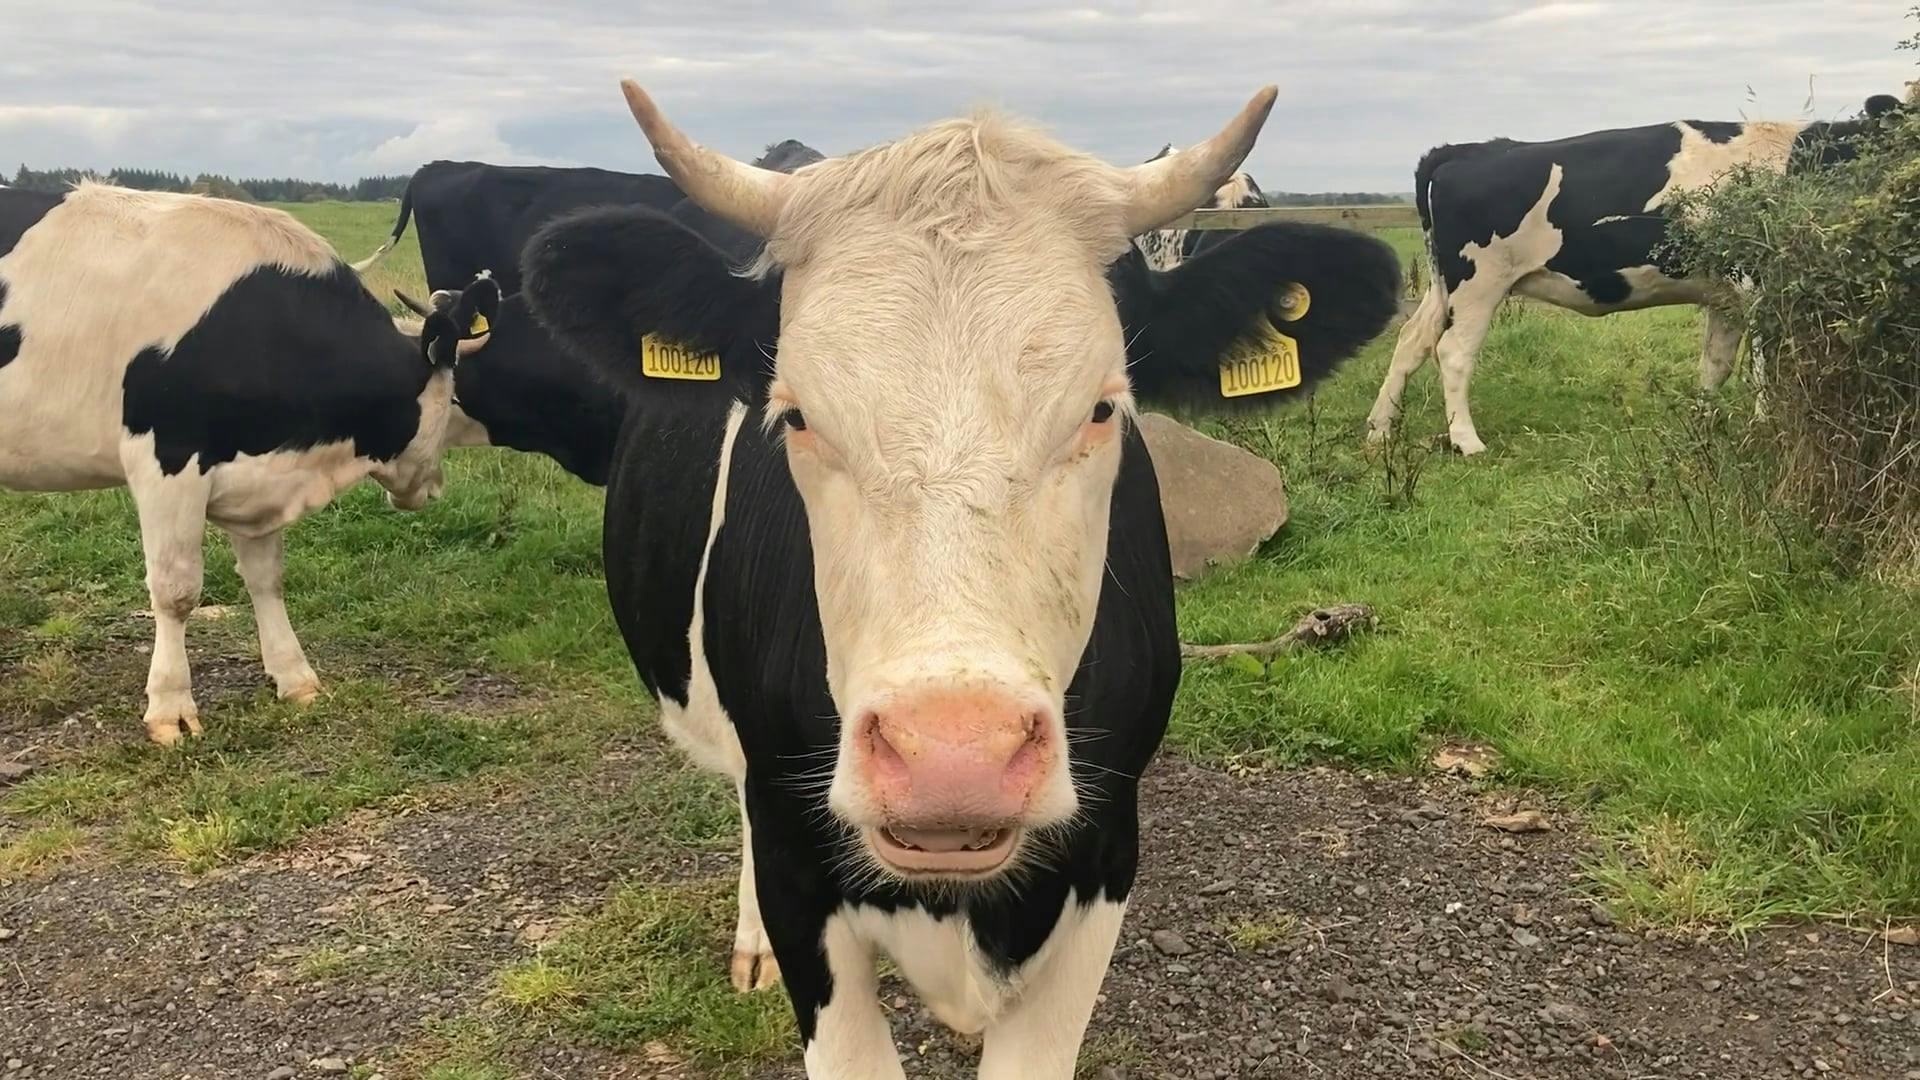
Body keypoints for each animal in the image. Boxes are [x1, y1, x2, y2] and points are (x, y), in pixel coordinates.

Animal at [0, 183, 499, 744]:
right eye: (452, 399)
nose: (433, 486)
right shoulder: (165, 461)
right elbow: (176, 590)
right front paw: (170, 707)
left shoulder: (255, 476)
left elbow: (266, 577)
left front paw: (295, 677)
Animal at [1367, 94, 1907, 455]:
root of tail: (1466, 149)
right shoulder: (1758, 283)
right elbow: (1763, 370)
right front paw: (1765, 428)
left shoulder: (1727, 296)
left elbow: (1715, 364)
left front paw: (1702, 423)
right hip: (1479, 282)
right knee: (1453, 353)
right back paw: (1466, 440)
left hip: (1442, 284)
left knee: (1412, 341)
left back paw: (1379, 429)